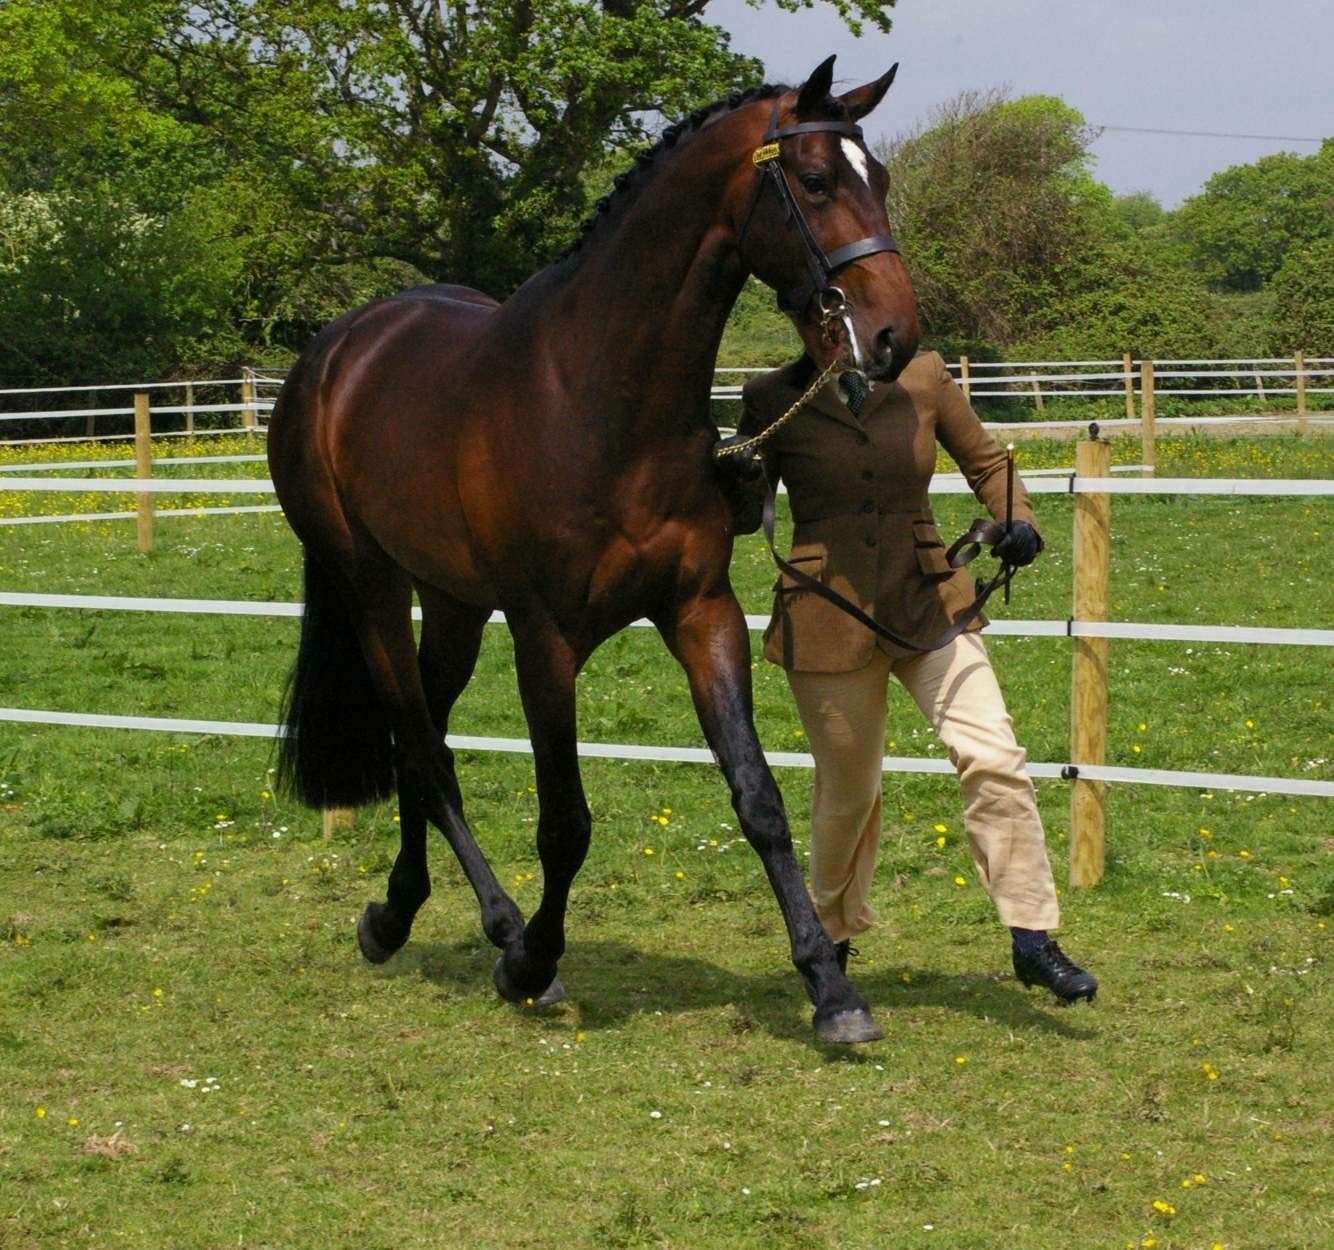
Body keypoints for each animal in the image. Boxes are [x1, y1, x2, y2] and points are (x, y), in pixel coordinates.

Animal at [267, 54, 920, 1044]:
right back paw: (493, 931)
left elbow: (759, 798)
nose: (892, 336)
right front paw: (534, 961)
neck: (599, 394)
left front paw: (830, 989)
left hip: (454, 603)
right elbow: (565, 823)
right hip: (372, 585)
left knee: (425, 738)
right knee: (420, 745)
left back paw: (398, 911)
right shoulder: (546, 640)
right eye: (814, 182)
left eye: (875, 179)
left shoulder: (700, 613)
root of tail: (332, 352)